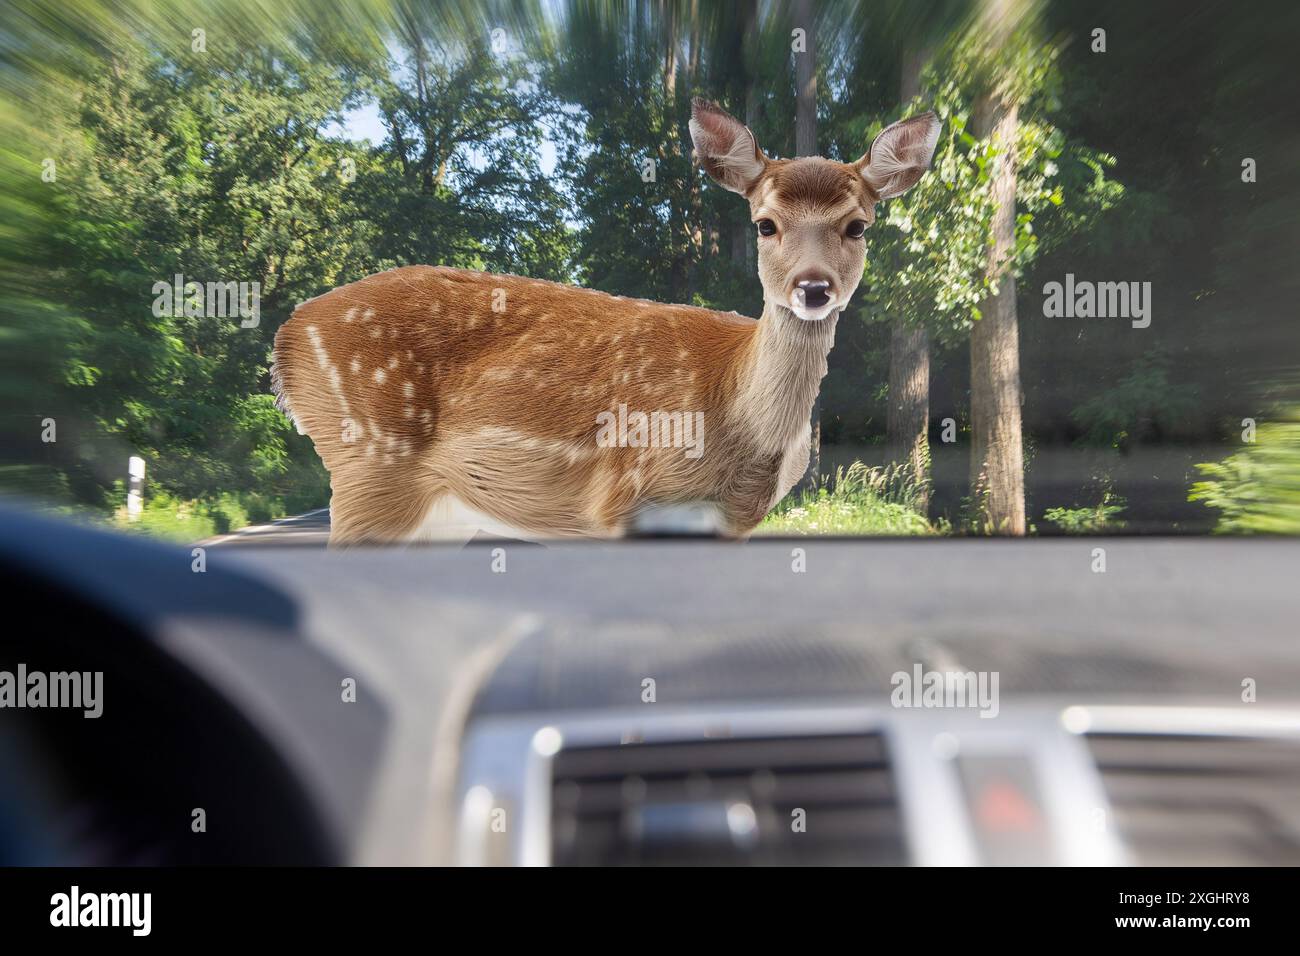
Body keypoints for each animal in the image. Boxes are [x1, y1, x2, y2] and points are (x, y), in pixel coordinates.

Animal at [272, 99, 940, 546]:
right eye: (765, 223)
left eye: (857, 225)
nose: (813, 287)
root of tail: (287, 337)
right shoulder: (624, 500)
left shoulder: (732, 522)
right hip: (367, 467)